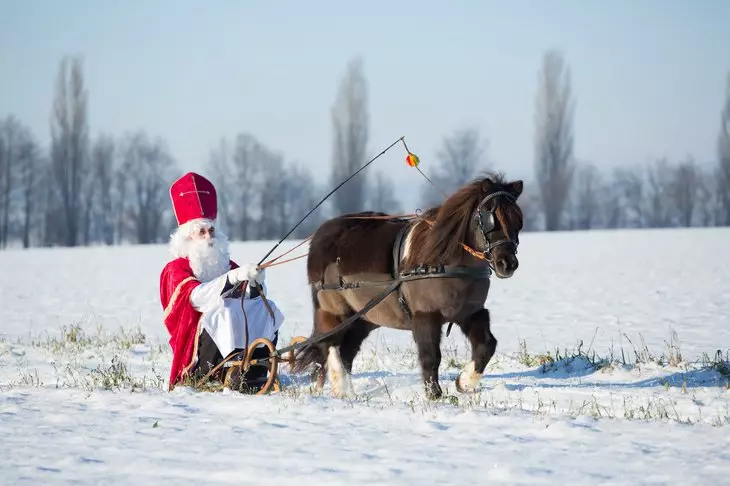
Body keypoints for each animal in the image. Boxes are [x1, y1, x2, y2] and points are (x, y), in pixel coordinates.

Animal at [290, 173, 524, 396]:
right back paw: (339, 385)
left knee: (347, 350)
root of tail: (321, 234)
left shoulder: (470, 312)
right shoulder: (425, 316)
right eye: (490, 217)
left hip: (364, 316)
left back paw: (346, 389)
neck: (445, 260)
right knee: (330, 345)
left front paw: (464, 382)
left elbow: (487, 345)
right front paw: (434, 394)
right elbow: (431, 356)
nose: (508, 263)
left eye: (517, 220)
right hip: (334, 310)